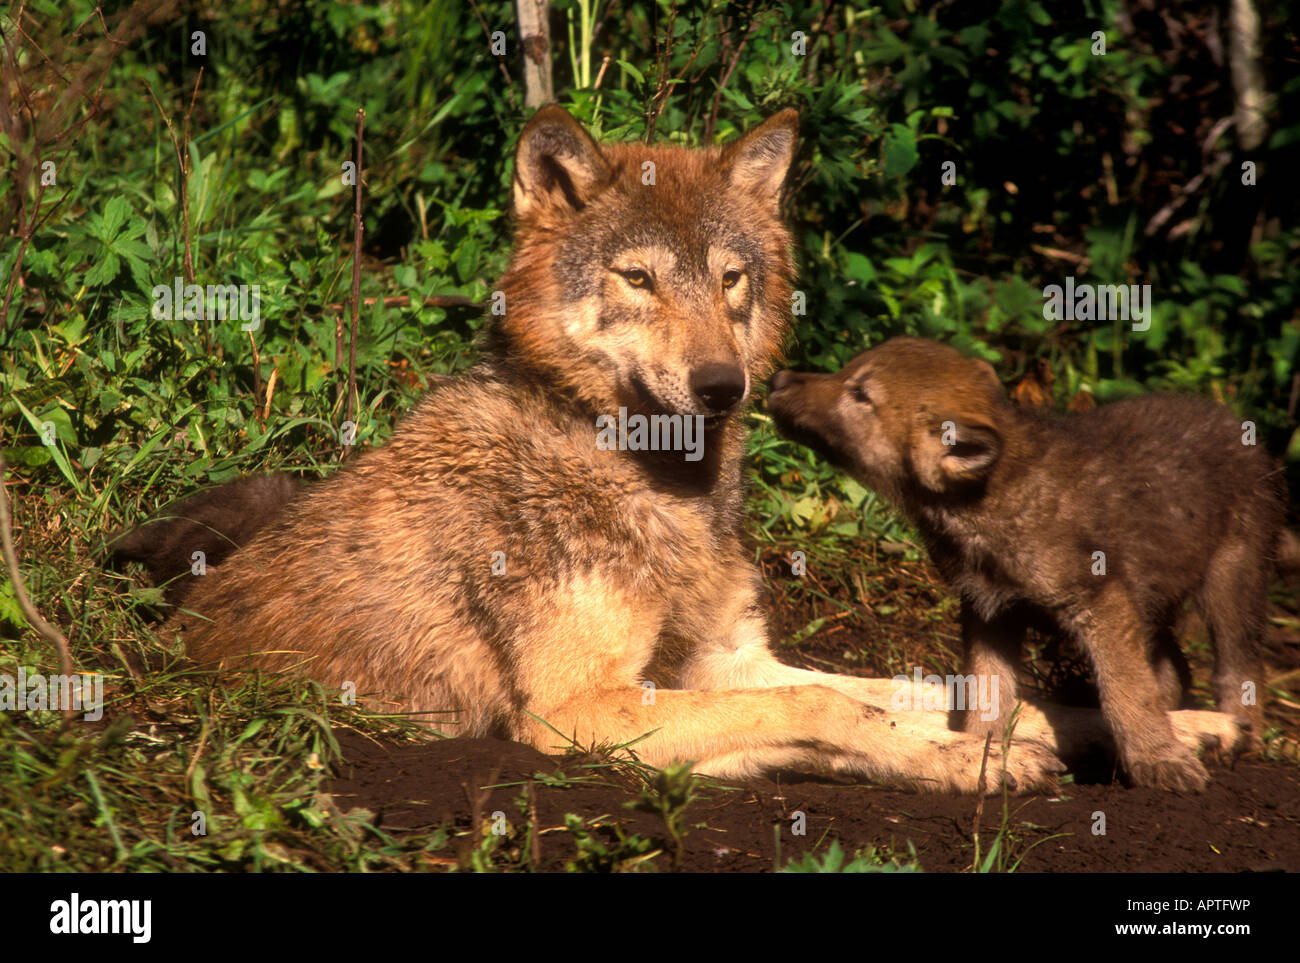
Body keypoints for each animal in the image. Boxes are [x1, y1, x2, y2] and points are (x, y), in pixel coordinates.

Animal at [768, 336, 1283, 790]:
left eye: (860, 394)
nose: (777, 379)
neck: (989, 498)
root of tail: (1229, 417)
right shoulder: (990, 609)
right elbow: (988, 692)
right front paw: (986, 754)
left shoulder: (1100, 601)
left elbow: (1126, 692)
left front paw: (1159, 760)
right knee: (1173, 666)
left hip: (1233, 578)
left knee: (1239, 666)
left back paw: (1244, 737)